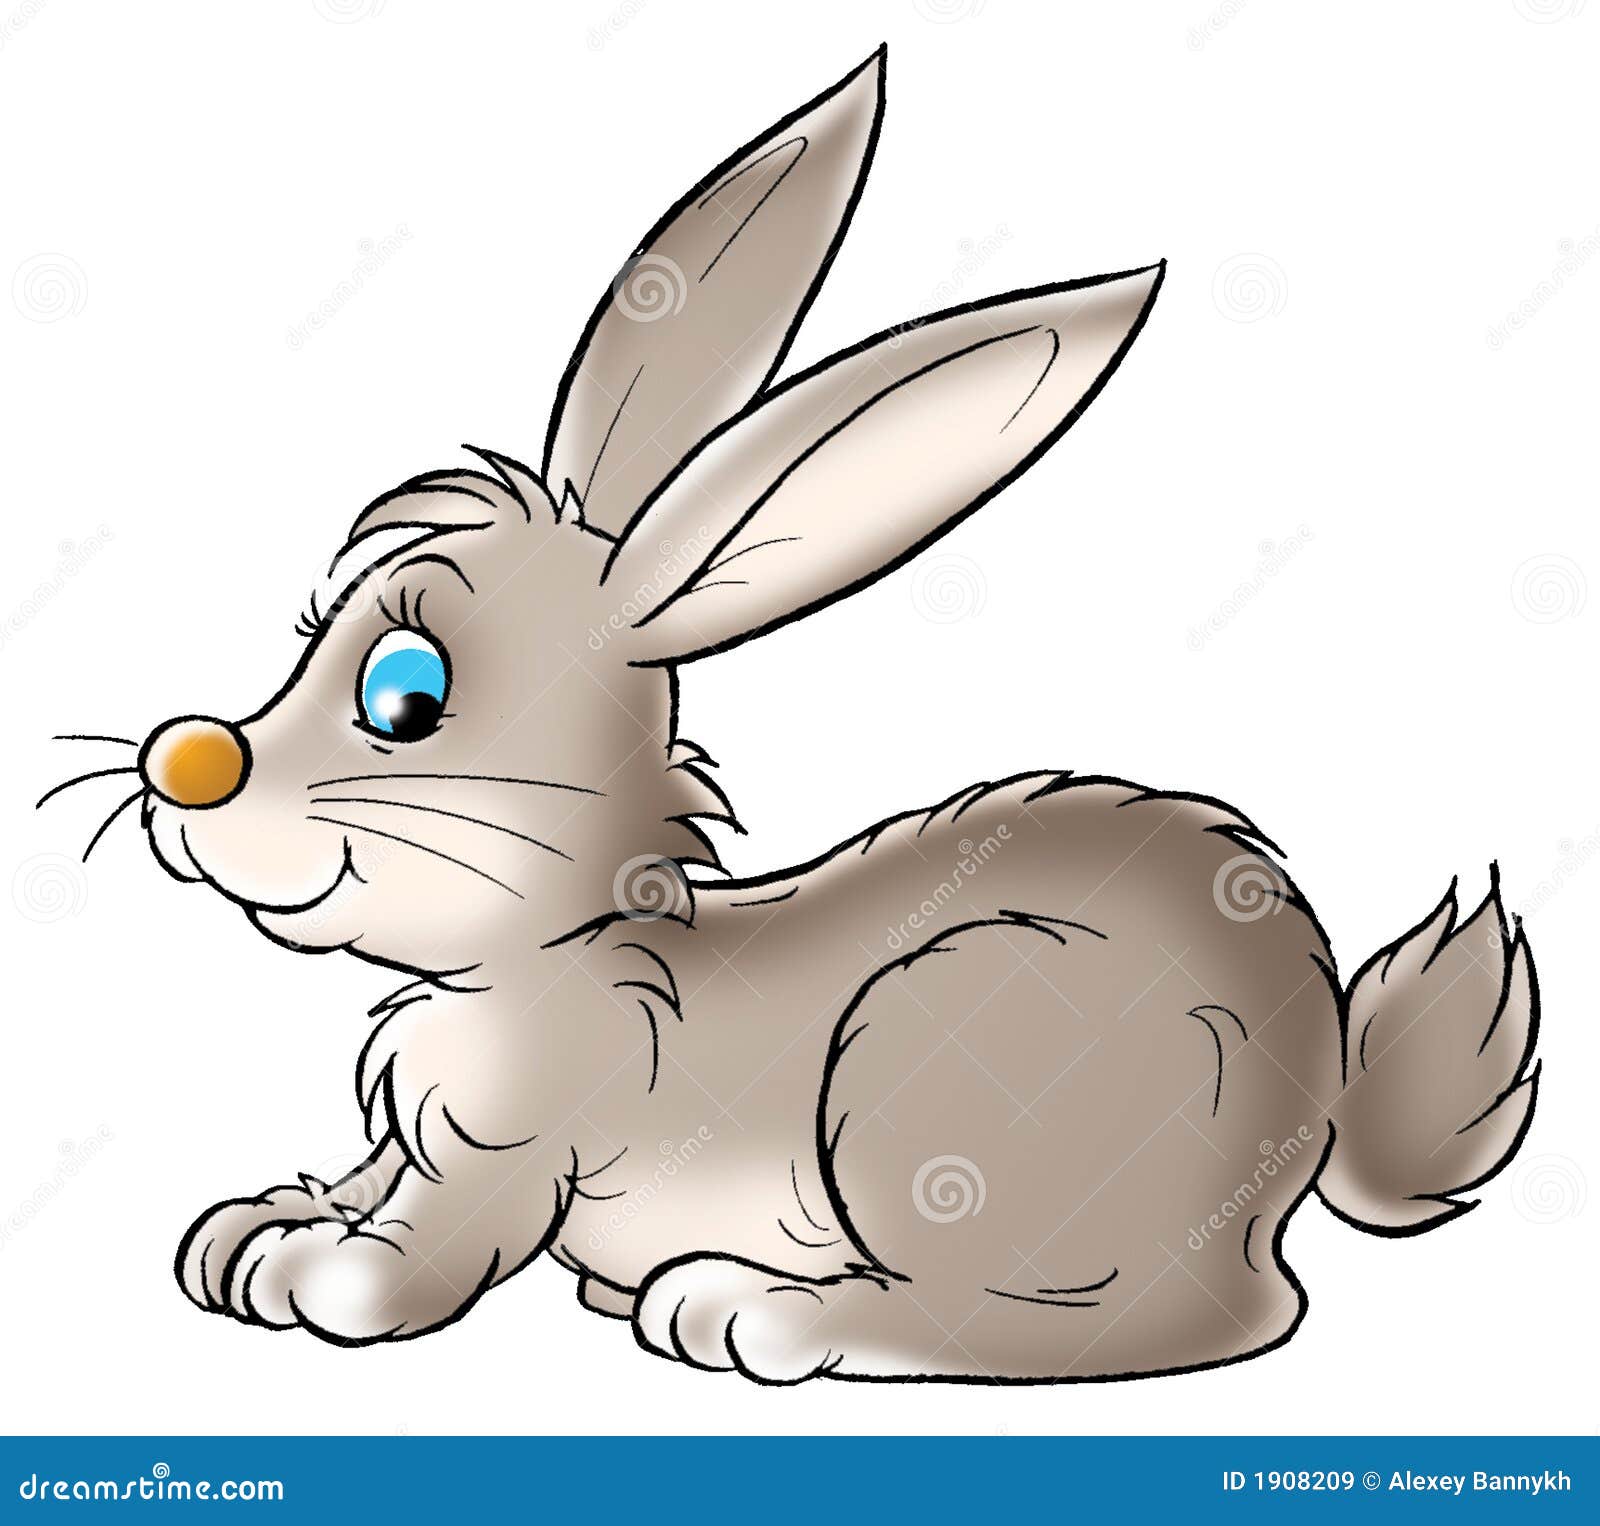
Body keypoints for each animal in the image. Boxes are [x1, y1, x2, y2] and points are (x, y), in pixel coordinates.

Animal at [49, 47, 1540, 1383]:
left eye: (405, 694)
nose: (186, 766)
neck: (555, 944)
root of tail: (1316, 1113)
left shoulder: (514, 1146)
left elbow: (425, 1251)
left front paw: (320, 1277)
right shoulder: (417, 1122)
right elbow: (363, 1171)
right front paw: (254, 1227)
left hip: (933, 1069)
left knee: (1154, 1324)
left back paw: (754, 1309)